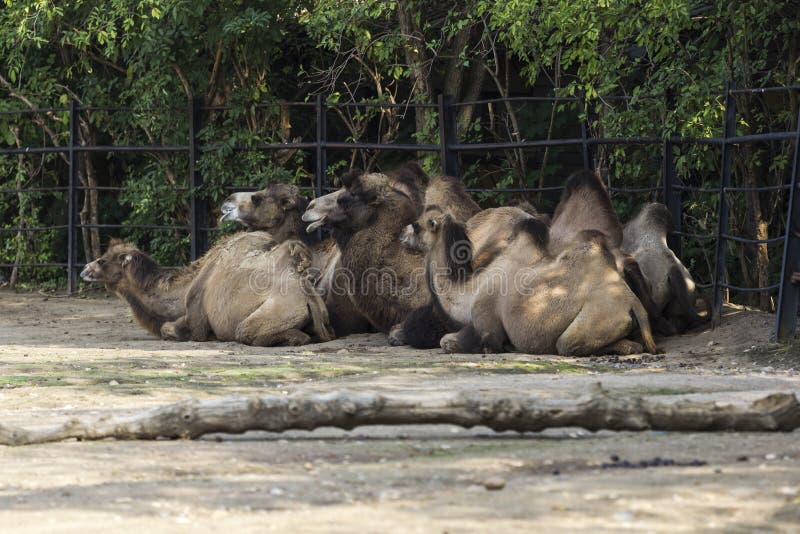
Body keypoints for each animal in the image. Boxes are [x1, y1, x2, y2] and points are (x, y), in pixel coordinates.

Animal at [81, 234, 333, 346]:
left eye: (103, 260)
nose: (84, 269)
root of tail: (306, 292)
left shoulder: (196, 321)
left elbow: (167, 328)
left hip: (271, 313)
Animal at [419, 212, 658, 355]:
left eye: (416, 226)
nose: (406, 235)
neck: (470, 291)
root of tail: (632, 301)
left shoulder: (486, 323)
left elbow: (451, 341)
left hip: (598, 317)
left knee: (567, 344)